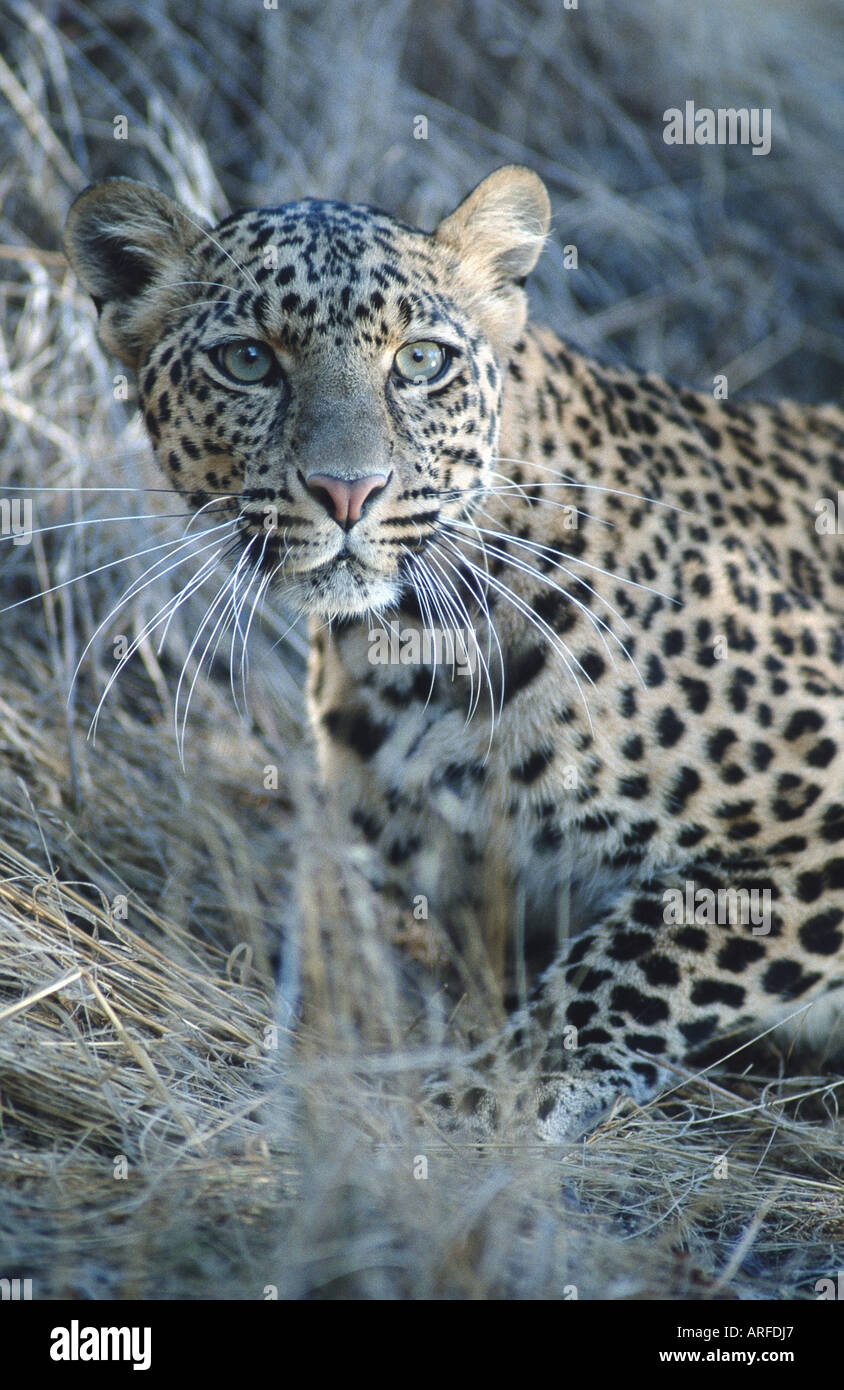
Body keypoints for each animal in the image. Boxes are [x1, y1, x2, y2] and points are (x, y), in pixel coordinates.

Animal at [63, 166, 844, 1140]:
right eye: (246, 361)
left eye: (420, 362)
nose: (348, 491)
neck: (414, 652)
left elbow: (636, 955)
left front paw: (491, 1099)